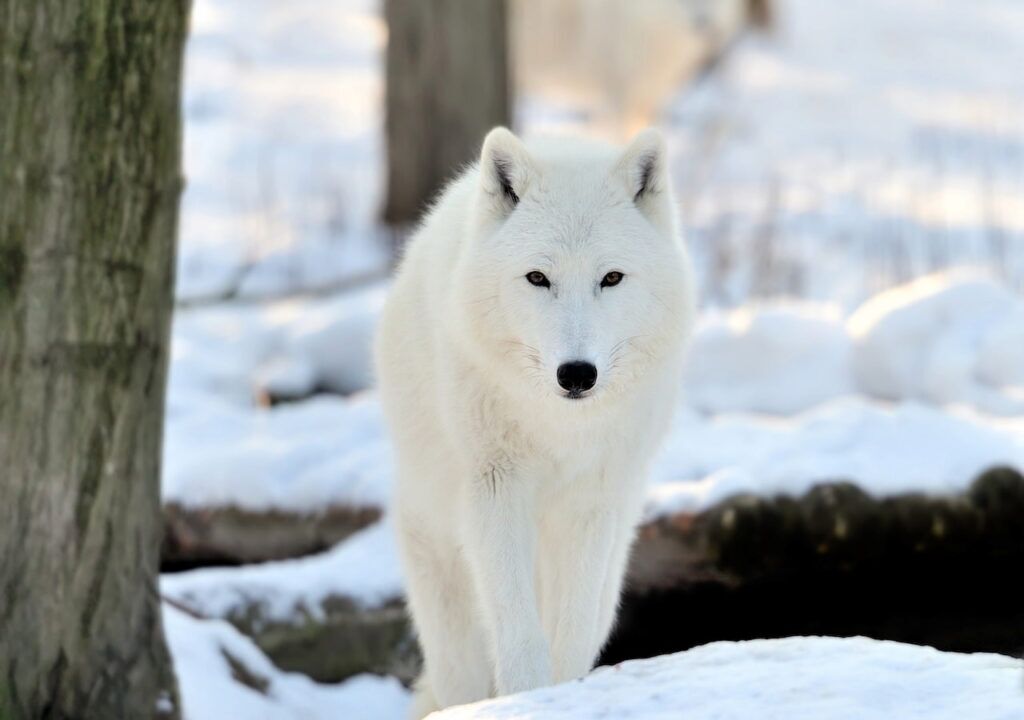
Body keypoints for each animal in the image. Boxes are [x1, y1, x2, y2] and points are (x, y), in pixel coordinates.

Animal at [375, 127, 695, 717]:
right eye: (538, 278)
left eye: (611, 278)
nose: (577, 374)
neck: (557, 428)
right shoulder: (496, 490)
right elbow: (519, 632)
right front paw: (528, 697)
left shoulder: (590, 503)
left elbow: (569, 630)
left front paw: (565, 695)